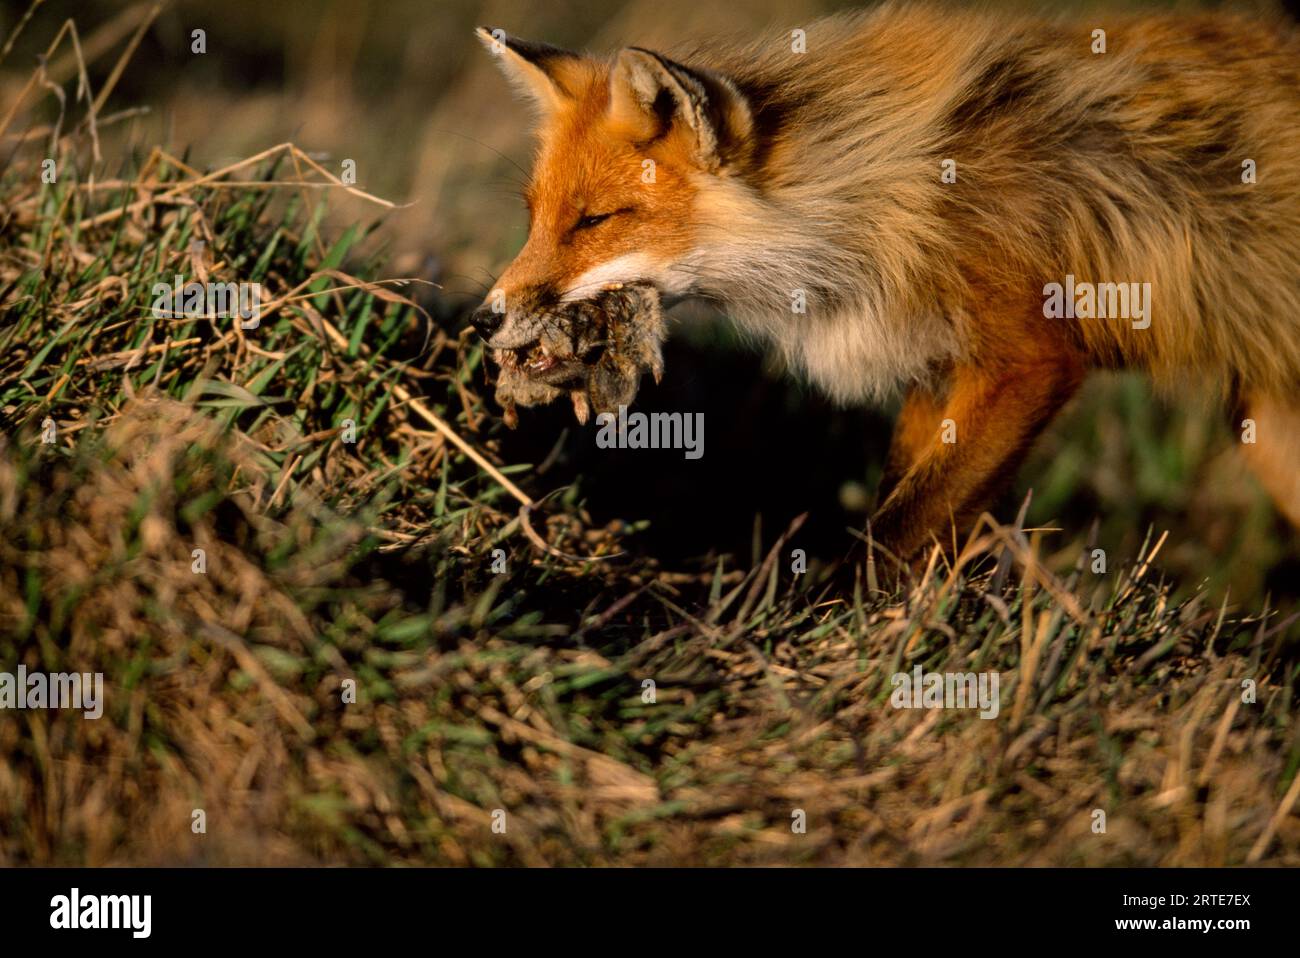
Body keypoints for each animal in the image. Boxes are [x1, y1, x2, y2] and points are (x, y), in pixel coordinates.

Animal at [468, 3, 1300, 561]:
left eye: (595, 221)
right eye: (535, 217)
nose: (484, 320)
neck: (897, 200)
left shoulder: (1032, 361)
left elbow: (901, 528)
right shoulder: (934, 367)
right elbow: (902, 503)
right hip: (1268, 433)